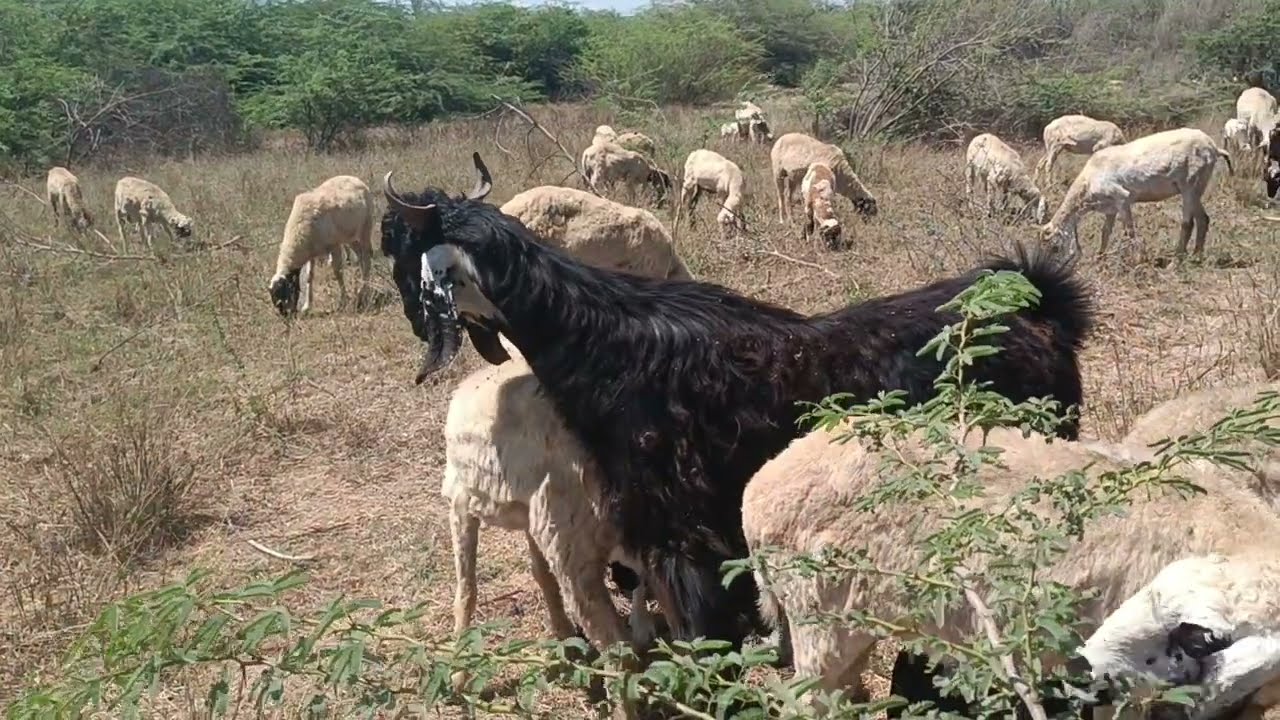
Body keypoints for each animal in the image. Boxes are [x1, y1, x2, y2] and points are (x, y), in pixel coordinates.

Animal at [267, 175, 376, 317]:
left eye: (286, 293)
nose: (287, 315)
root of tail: (353, 178)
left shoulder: (334, 246)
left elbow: (338, 273)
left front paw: (343, 302)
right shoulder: (311, 253)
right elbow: (309, 277)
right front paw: (307, 306)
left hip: (365, 228)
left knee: (367, 258)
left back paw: (363, 292)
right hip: (350, 237)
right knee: (361, 256)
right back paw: (361, 287)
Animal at [380, 151, 1093, 653]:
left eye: (399, 250)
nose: (411, 321)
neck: (602, 340)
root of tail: (1040, 306)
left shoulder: (679, 528)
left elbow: (698, 622)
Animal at [1039, 127, 1233, 260]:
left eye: (1054, 247)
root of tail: (1213, 147)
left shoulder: (1122, 198)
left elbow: (1129, 231)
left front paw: (1137, 259)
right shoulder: (1110, 208)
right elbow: (1105, 232)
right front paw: (1100, 256)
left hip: (1190, 184)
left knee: (1188, 223)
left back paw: (1176, 260)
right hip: (1198, 186)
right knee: (1203, 219)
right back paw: (1196, 256)